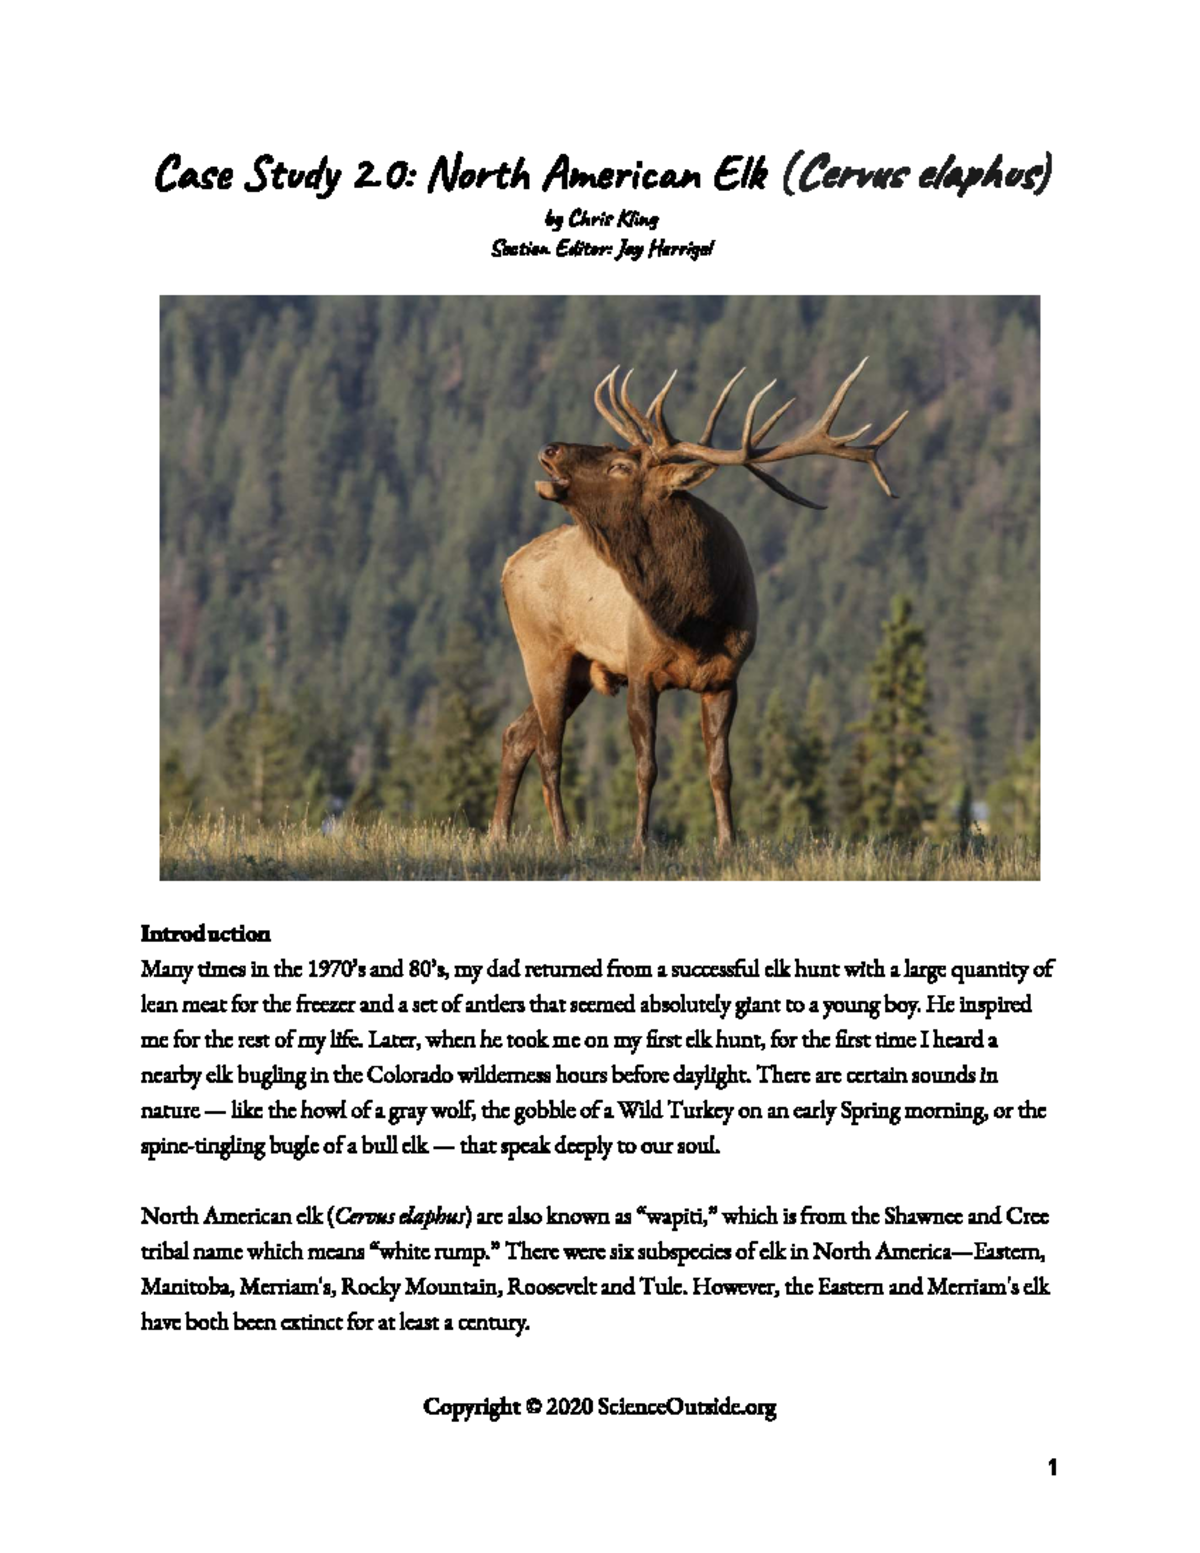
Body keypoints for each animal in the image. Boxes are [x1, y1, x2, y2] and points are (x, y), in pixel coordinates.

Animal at [490, 359, 907, 853]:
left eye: (619, 463)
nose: (549, 448)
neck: (694, 620)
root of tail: (508, 566)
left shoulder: (726, 677)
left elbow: (721, 770)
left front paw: (728, 842)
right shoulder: (641, 669)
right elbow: (646, 768)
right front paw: (640, 843)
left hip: (576, 670)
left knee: (519, 735)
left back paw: (498, 835)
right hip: (544, 651)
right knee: (550, 751)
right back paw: (562, 839)